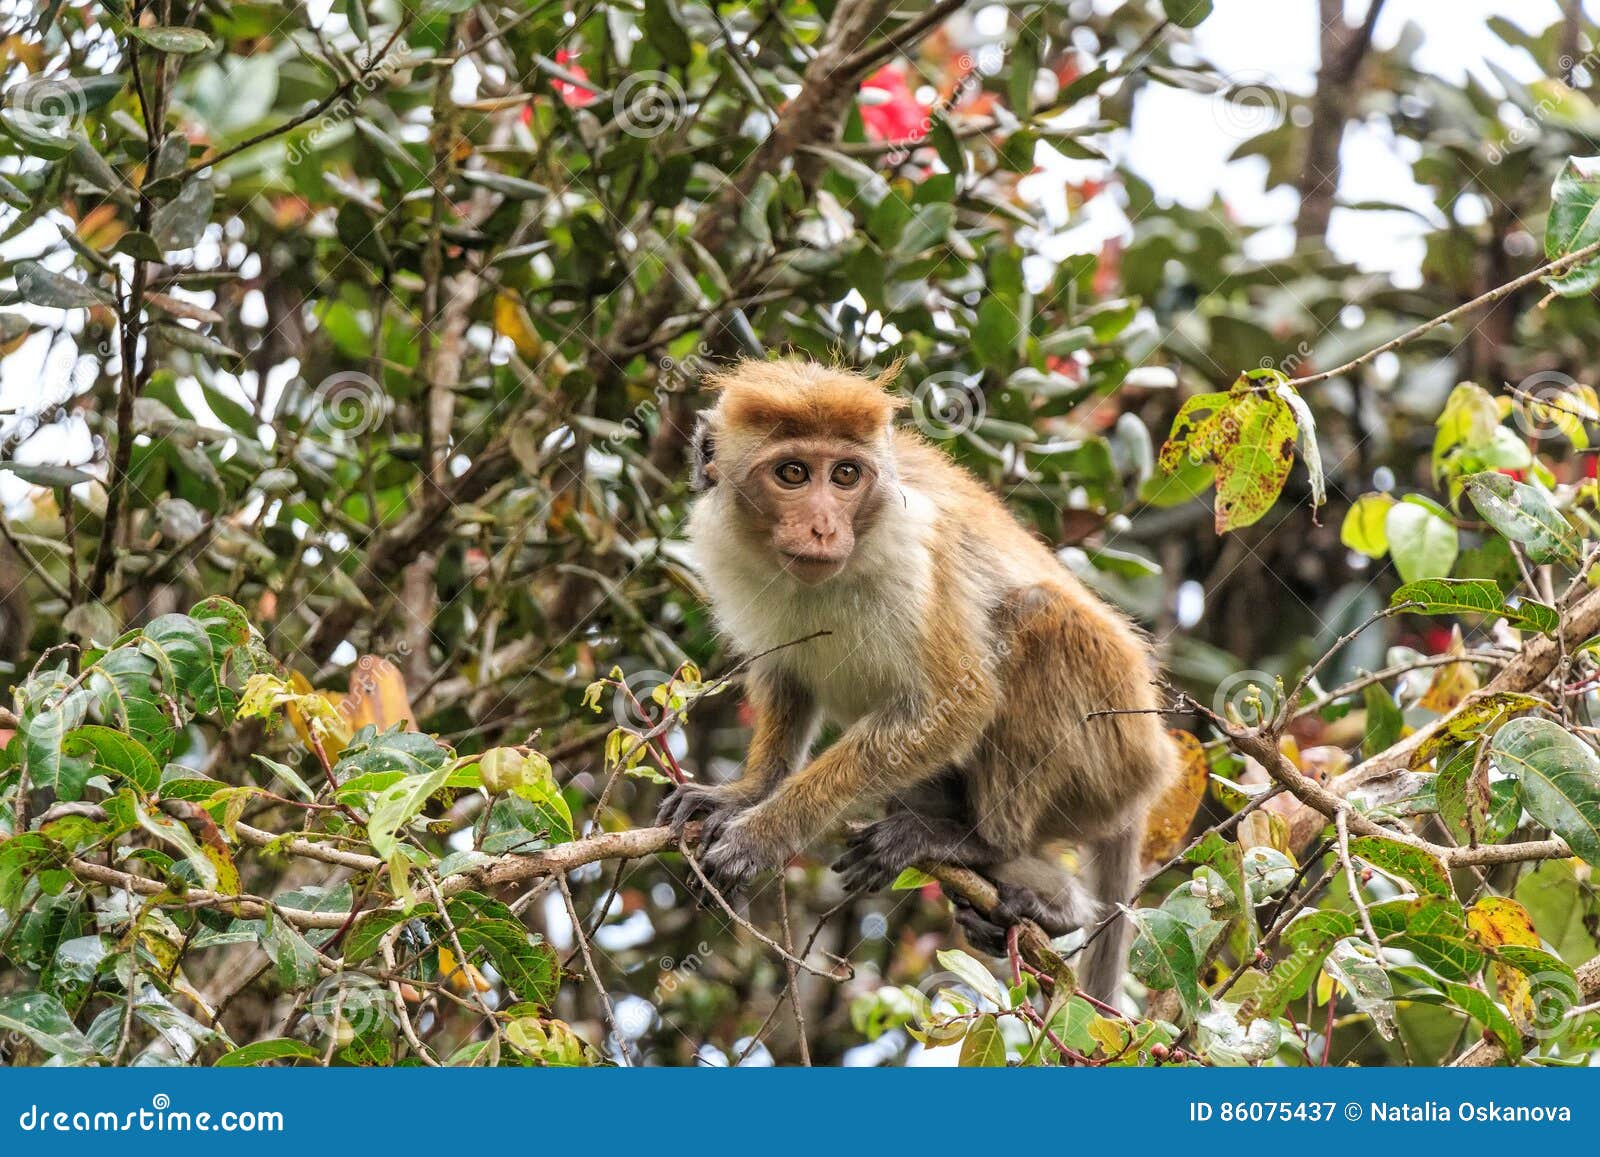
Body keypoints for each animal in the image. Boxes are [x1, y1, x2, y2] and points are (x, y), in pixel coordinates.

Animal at [657, 359, 1177, 1002]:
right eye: (793, 473)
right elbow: (786, 678)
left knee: (1037, 617)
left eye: (846, 475)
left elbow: (959, 702)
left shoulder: (916, 555)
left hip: (1110, 753)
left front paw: (767, 832)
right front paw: (748, 793)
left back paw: (984, 848)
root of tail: (1153, 765)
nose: (824, 527)